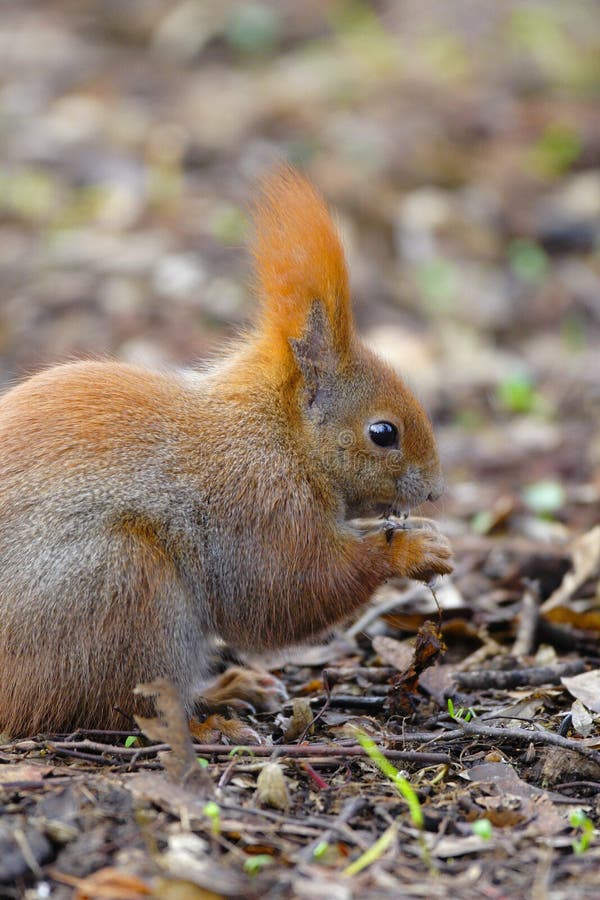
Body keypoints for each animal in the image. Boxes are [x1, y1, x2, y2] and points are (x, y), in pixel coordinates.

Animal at [0, 166, 452, 737]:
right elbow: (290, 591)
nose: (434, 489)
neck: (277, 434)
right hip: (120, 590)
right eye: (383, 432)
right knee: (129, 709)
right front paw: (416, 549)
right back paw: (207, 723)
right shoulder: (259, 505)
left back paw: (231, 689)